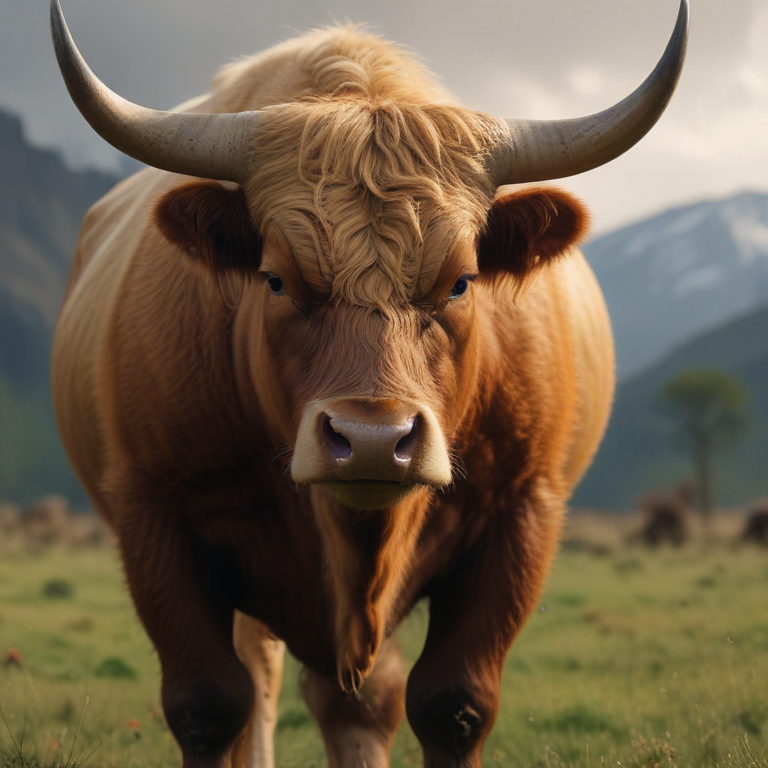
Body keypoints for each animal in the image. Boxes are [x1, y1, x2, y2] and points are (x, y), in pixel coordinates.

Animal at [49, 1, 688, 766]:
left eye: (461, 281)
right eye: (275, 279)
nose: (375, 440)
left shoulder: (519, 515)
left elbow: (452, 704)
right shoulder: (155, 514)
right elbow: (208, 703)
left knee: (352, 699)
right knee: (262, 680)